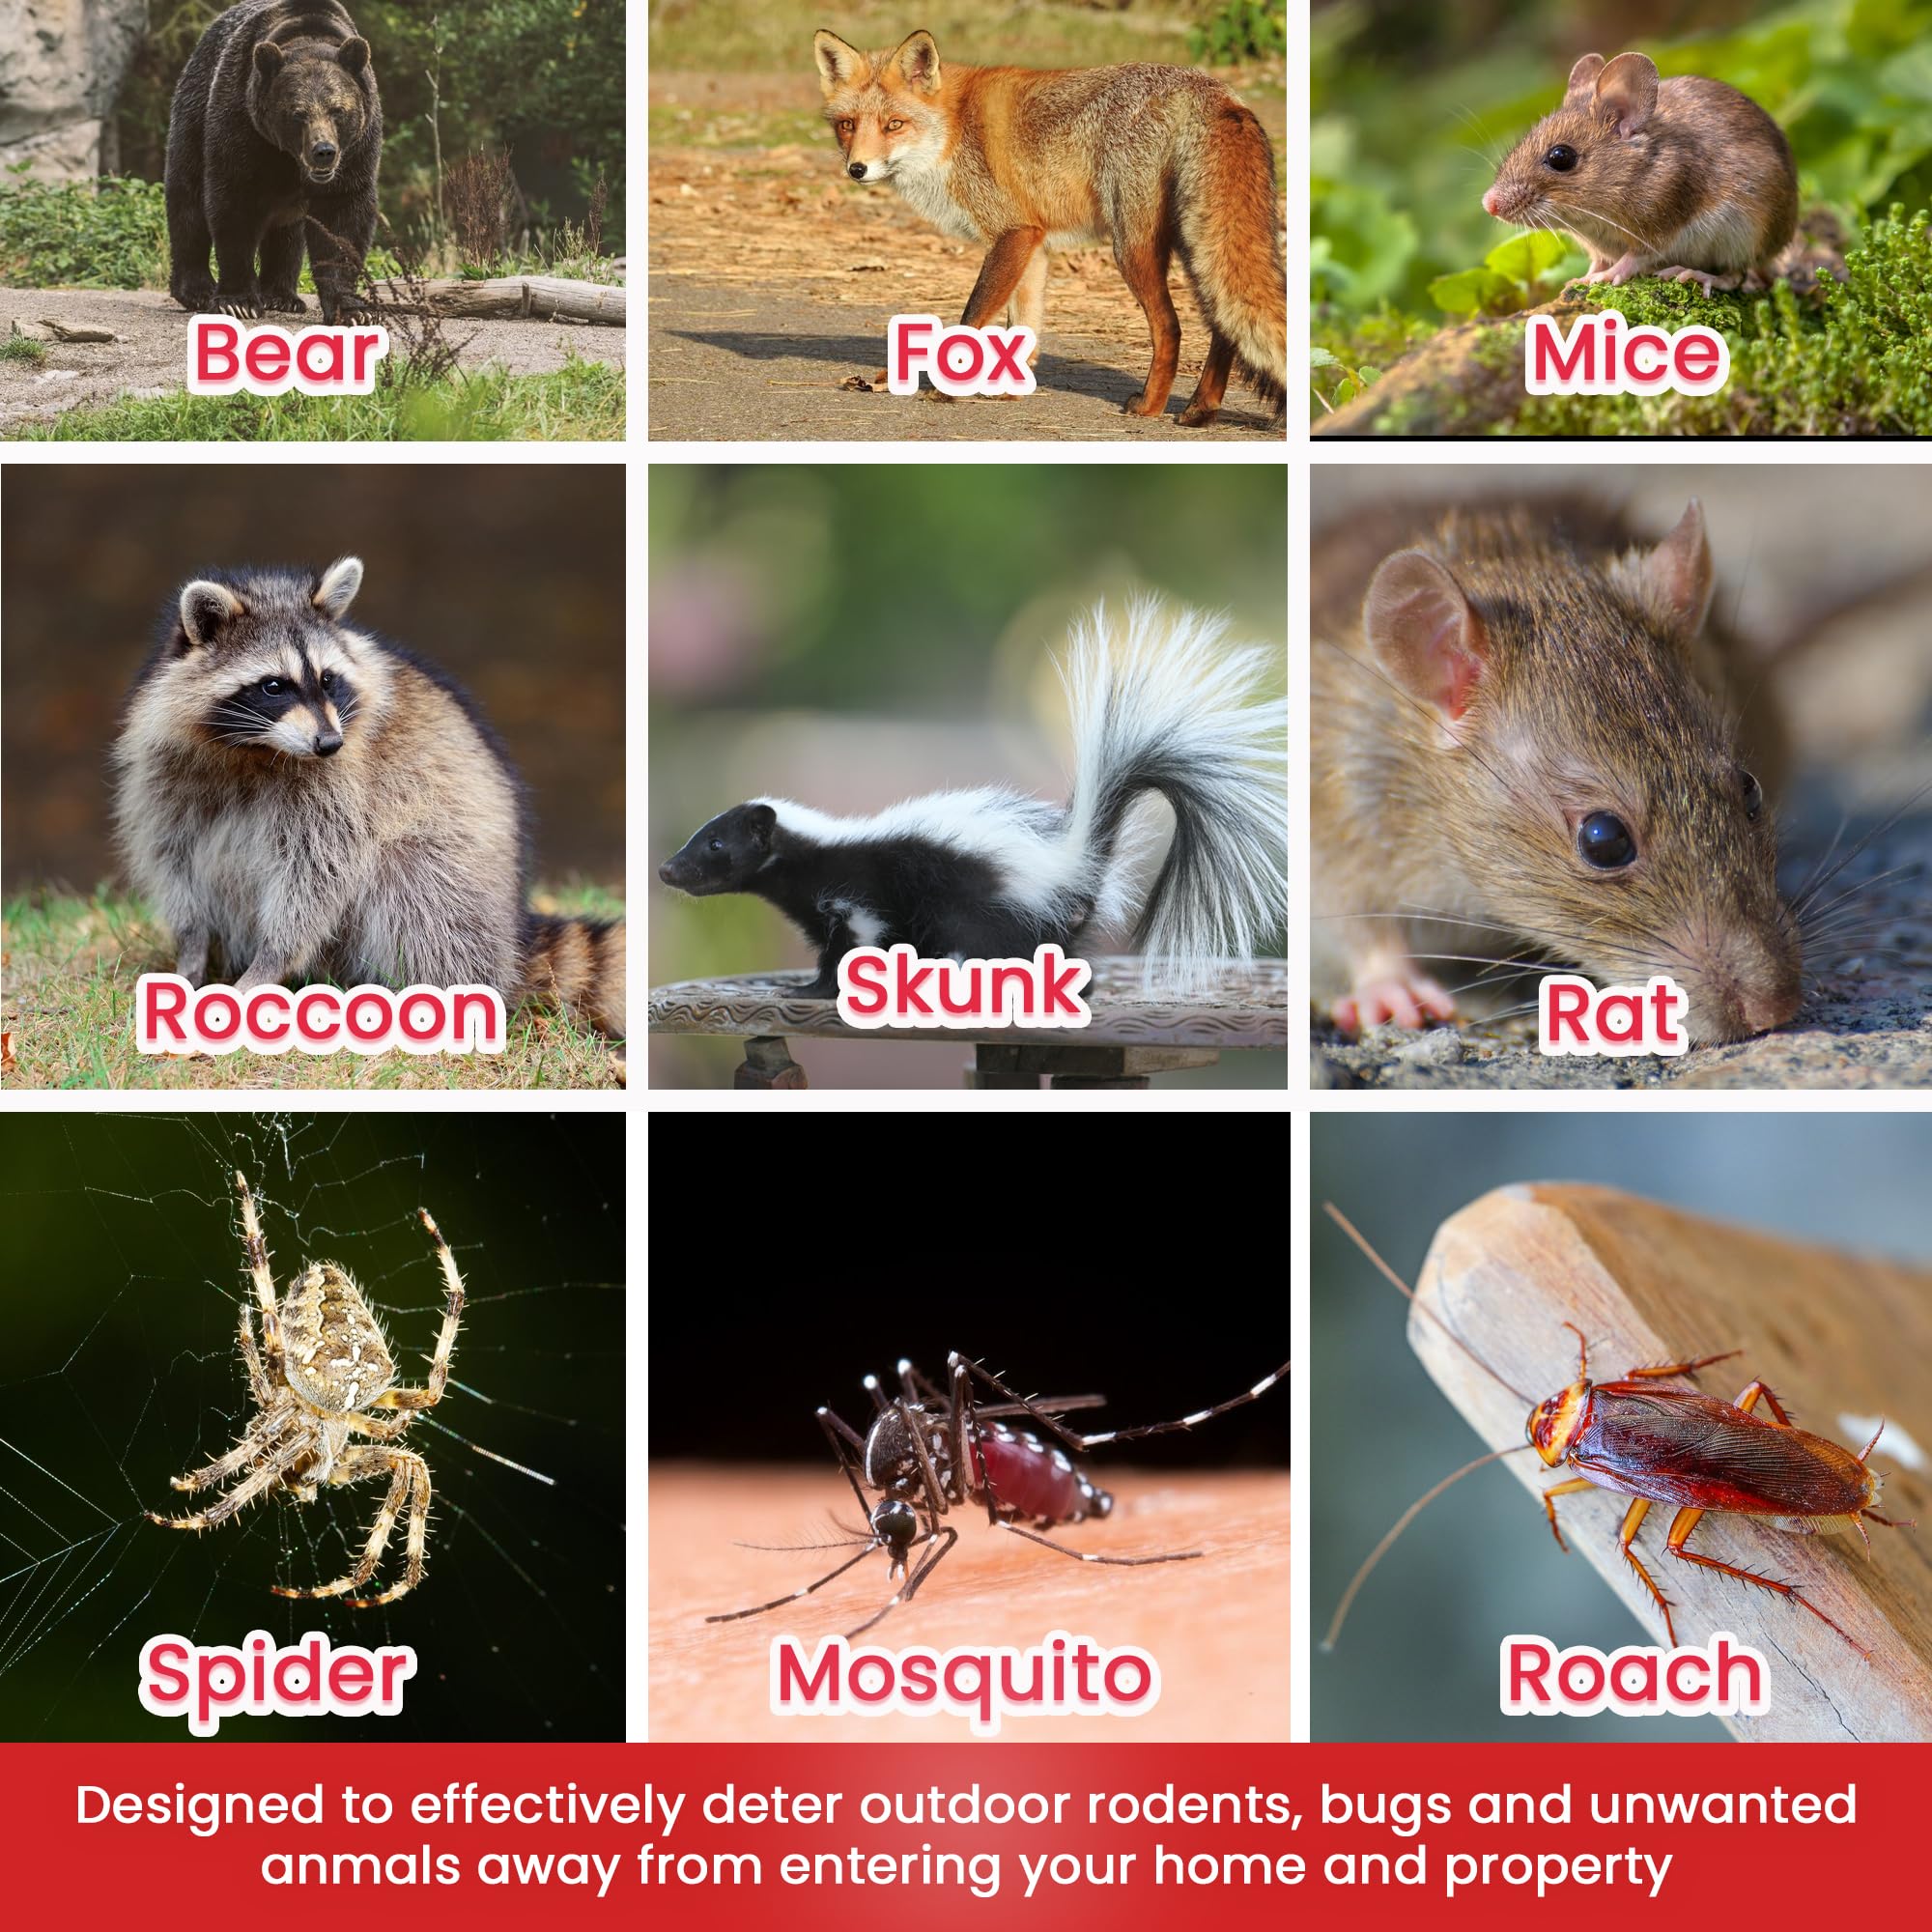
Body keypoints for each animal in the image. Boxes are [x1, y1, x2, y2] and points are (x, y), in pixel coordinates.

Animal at [112, 556, 625, 1037]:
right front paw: (190, 955)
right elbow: (175, 861)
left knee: (416, 884)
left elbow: (316, 875)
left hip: (462, 874)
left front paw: (268, 964)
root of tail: (511, 938)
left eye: (326, 679)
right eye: (273, 686)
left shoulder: (342, 786)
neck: (255, 748)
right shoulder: (165, 774)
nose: (328, 743)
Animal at [165, 1, 382, 326]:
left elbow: (342, 220)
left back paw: (282, 296)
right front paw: (238, 302)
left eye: (337, 110)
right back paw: (197, 290)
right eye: (298, 113)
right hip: (193, 112)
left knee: (287, 232)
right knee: (187, 200)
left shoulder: (356, 153)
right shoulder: (242, 124)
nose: (324, 151)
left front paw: (353, 310)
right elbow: (234, 204)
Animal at [813, 27, 1286, 427]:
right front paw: (1010, 390)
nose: (857, 169)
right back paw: (1199, 410)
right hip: (1194, 244)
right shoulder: (1033, 243)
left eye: (894, 124)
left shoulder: (1013, 233)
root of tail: (1212, 89)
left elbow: (973, 317)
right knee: (1224, 328)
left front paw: (945, 390)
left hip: (1132, 247)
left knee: (1171, 326)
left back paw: (1150, 406)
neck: (953, 128)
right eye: (847, 125)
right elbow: (1023, 324)